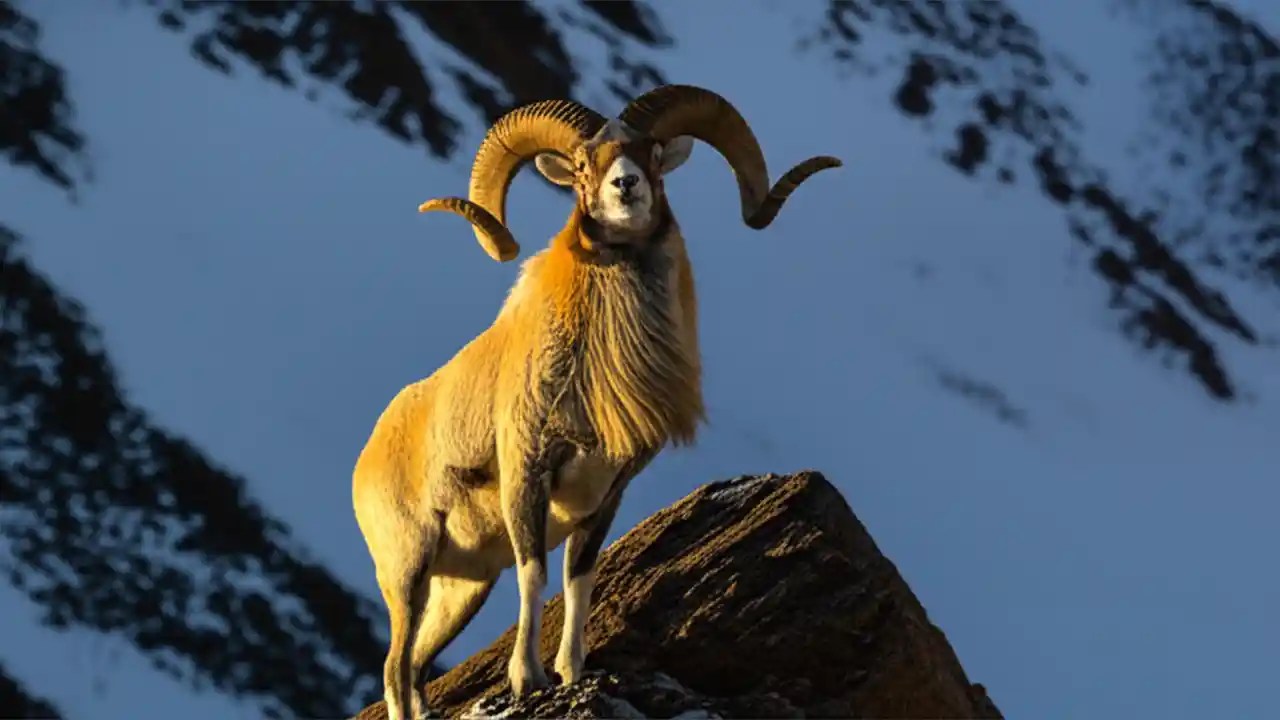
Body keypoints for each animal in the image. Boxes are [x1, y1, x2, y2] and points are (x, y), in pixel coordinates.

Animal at [351, 84, 841, 720]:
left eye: (651, 153)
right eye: (584, 165)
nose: (625, 187)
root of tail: (368, 457)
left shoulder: (607, 493)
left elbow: (577, 579)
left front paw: (571, 671)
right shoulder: (527, 477)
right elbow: (535, 575)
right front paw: (527, 679)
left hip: (462, 590)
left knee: (413, 666)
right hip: (408, 573)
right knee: (394, 666)